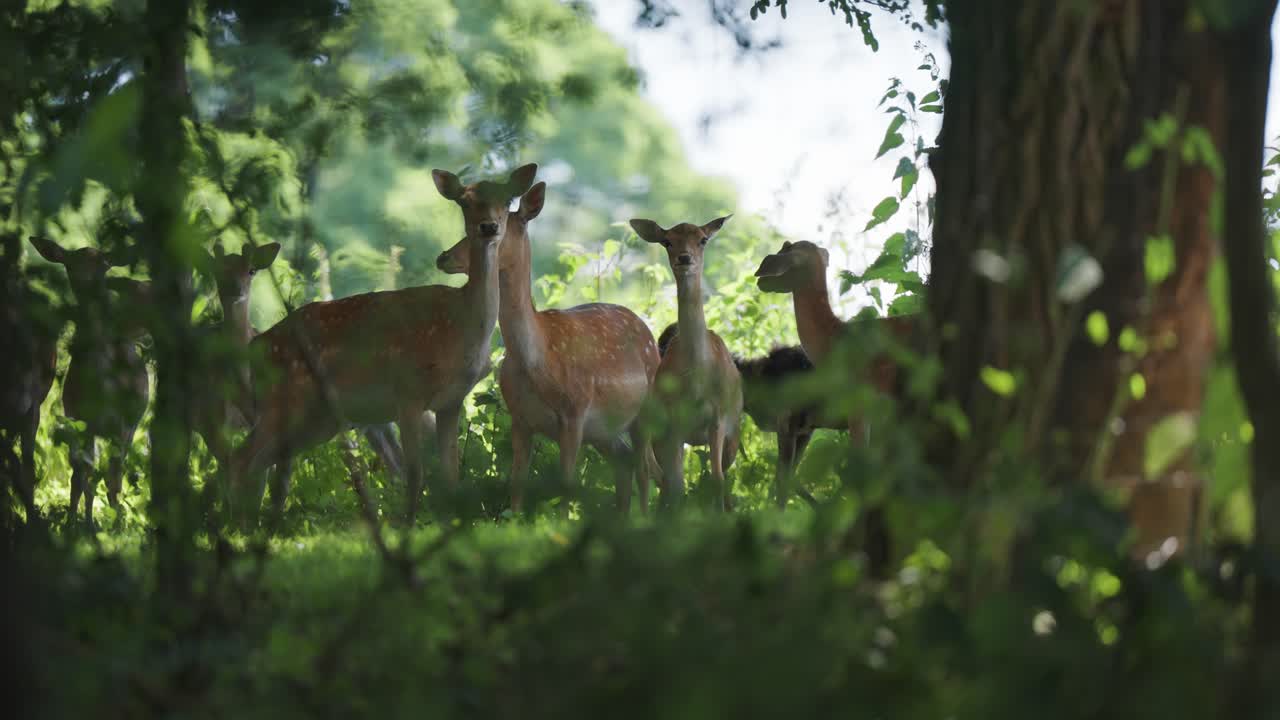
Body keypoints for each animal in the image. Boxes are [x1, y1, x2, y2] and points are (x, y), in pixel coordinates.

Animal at [28, 236, 152, 526]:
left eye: (105, 265)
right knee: (91, 473)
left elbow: (110, 477)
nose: (92, 289)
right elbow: (80, 475)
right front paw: (75, 522)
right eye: (70, 263)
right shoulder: (78, 418)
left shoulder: (120, 424)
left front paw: (113, 525)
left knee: (113, 471)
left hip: (132, 424)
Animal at [226, 164, 537, 528]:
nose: (488, 227)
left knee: (261, 464)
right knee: (240, 459)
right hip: (283, 401)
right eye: (464, 201)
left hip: (317, 419)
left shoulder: (451, 401)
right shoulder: (408, 393)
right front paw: (409, 525)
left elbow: (451, 476)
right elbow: (416, 474)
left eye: (507, 199)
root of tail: (257, 344)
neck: (460, 330)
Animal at [436, 184, 661, 515]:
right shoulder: (520, 419)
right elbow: (516, 487)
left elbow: (566, 487)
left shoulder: (574, 412)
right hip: (605, 430)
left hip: (645, 410)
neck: (538, 359)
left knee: (644, 468)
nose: (444, 257)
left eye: (495, 227)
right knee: (625, 460)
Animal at [632, 216, 742, 511]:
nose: (684, 257)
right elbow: (677, 484)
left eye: (702, 239)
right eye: (667, 241)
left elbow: (716, 478)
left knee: (722, 474)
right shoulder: (673, 424)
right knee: (662, 478)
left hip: (734, 432)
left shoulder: (718, 416)